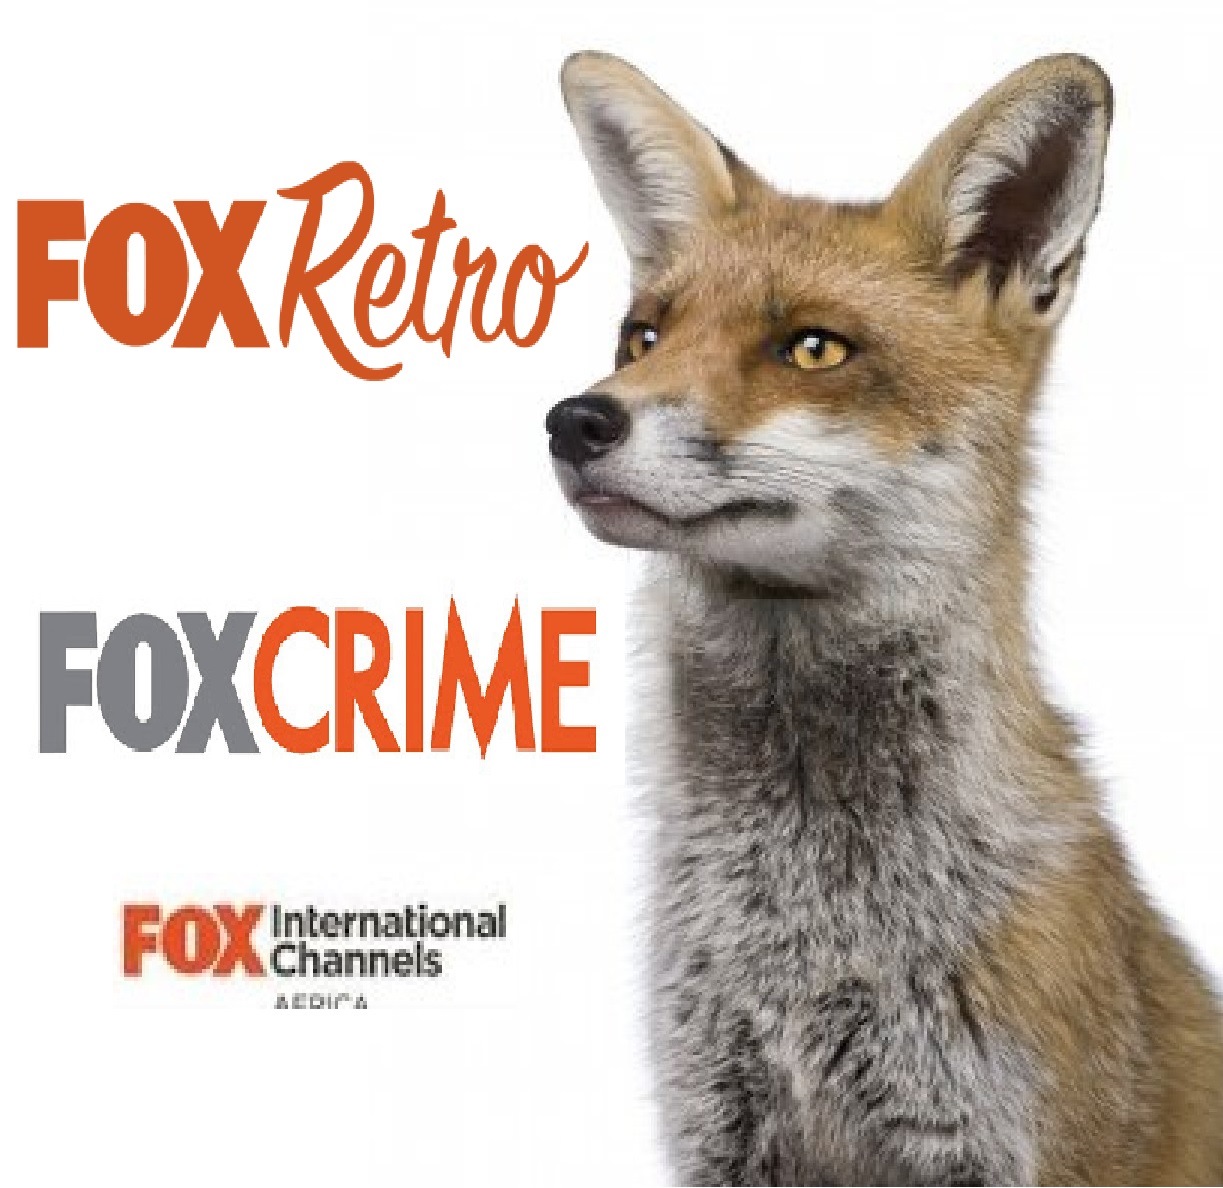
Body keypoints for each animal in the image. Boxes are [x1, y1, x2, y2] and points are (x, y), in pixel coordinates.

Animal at [545, 50, 1223, 1186]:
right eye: (642, 336)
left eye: (812, 349)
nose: (574, 420)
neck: (800, 924)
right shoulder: (724, 1135)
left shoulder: (994, 1143)